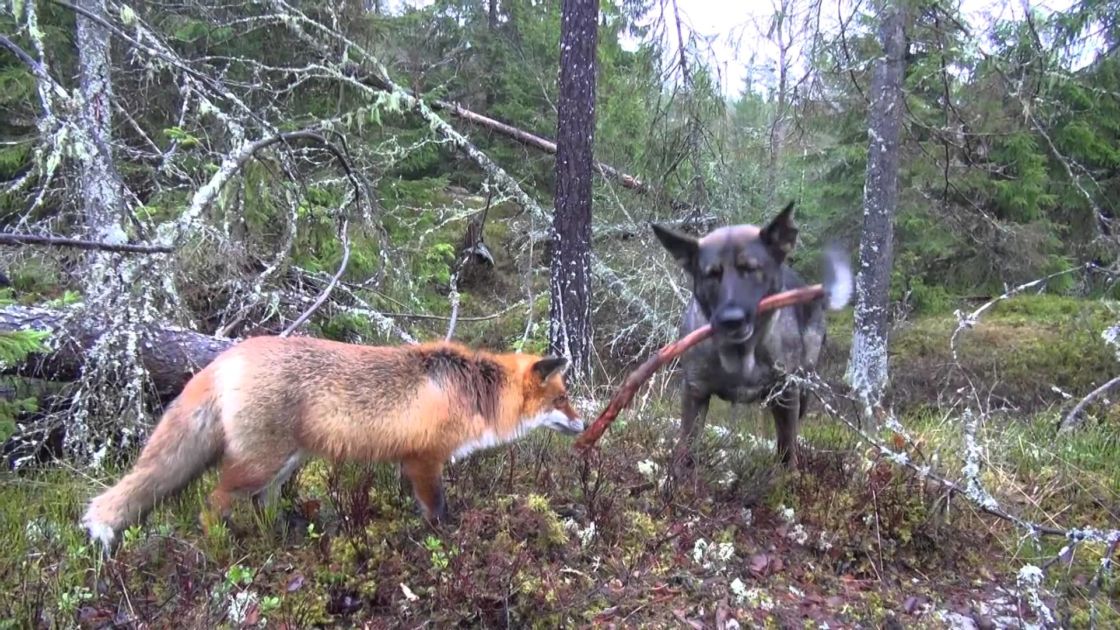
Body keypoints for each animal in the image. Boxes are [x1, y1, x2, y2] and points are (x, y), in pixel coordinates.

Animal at [81, 335, 584, 548]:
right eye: (562, 399)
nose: (584, 426)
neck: (473, 391)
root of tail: (227, 356)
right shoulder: (424, 460)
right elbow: (437, 511)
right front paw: (448, 539)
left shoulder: (414, 463)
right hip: (258, 465)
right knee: (213, 503)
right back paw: (221, 549)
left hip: (282, 463)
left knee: (262, 505)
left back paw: (282, 536)